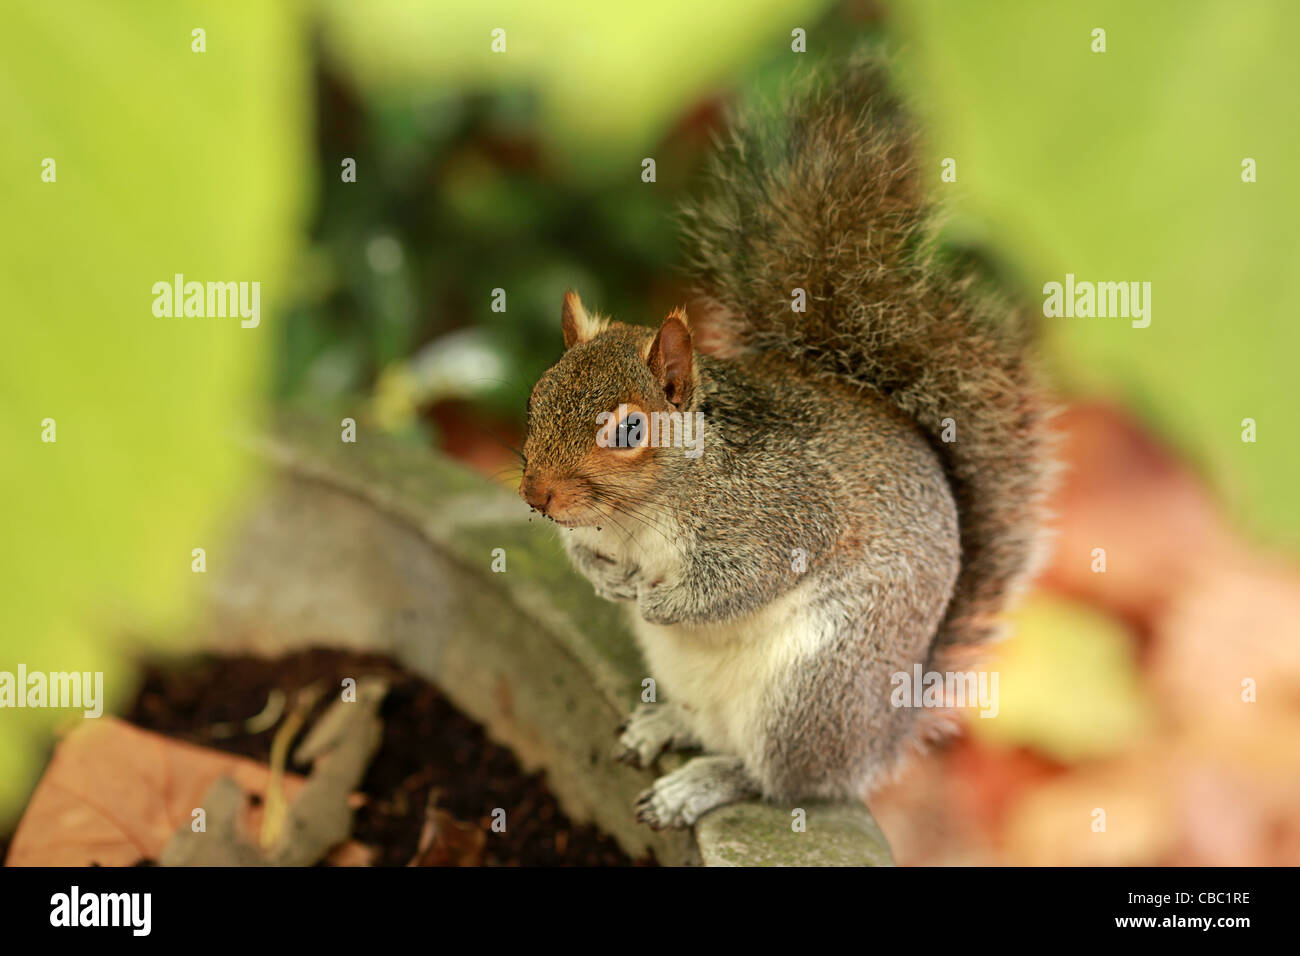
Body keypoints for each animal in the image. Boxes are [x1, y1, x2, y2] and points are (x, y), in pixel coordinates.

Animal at [519, 57, 1053, 830]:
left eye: (630, 429)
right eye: (536, 396)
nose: (536, 496)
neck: (642, 514)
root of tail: (876, 741)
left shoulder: (785, 515)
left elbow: (738, 583)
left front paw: (657, 602)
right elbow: (583, 551)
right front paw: (604, 579)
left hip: (808, 694)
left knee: (776, 780)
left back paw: (701, 784)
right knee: (710, 730)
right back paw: (665, 727)